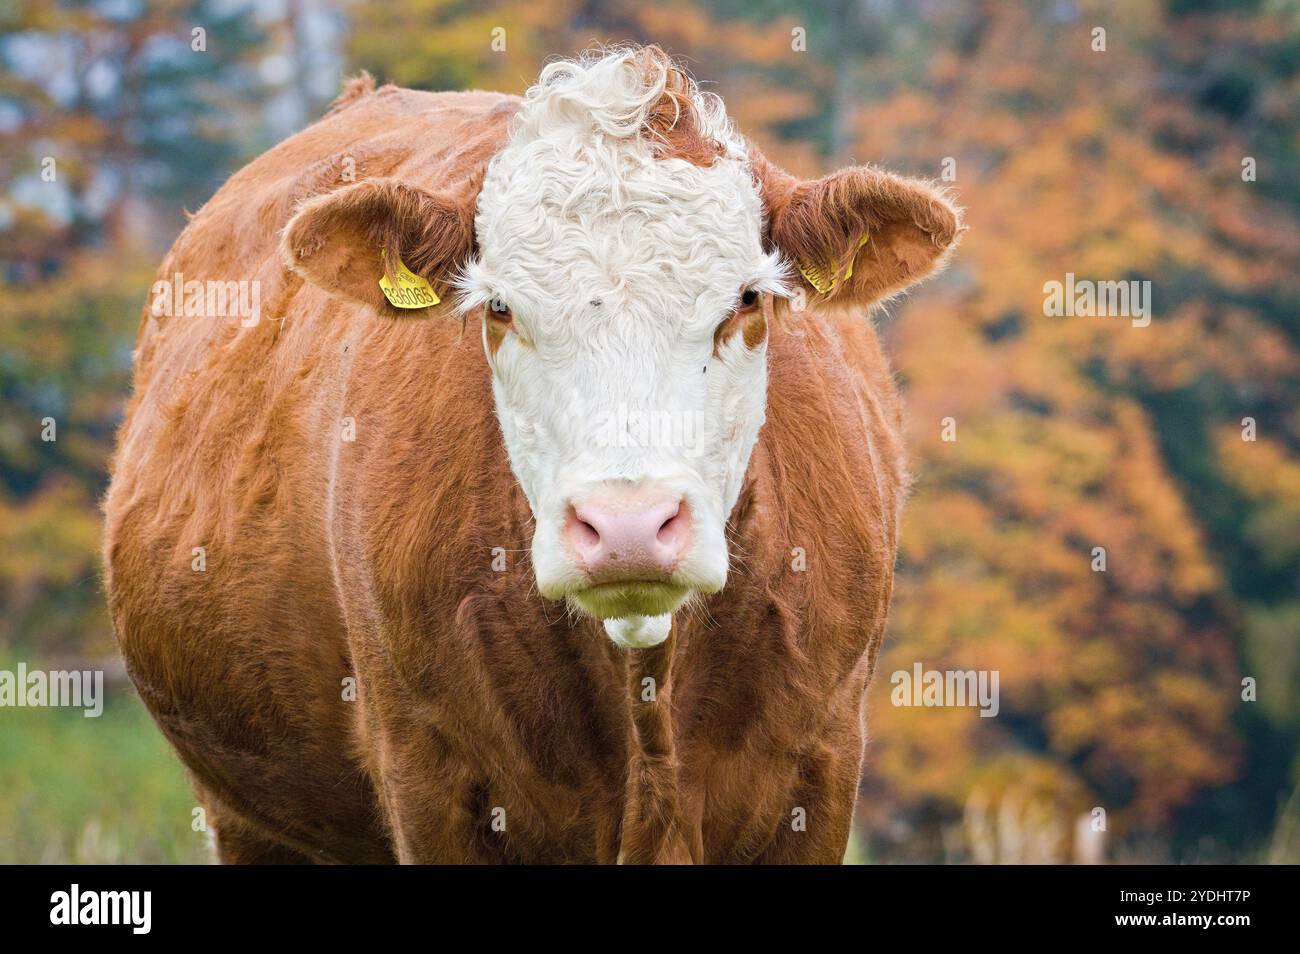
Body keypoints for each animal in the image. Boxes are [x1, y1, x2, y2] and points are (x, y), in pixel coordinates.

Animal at [103, 46, 961, 864]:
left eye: (748, 299)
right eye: (500, 307)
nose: (627, 526)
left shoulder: (821, 768)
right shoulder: (429, 777)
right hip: (248, 819)